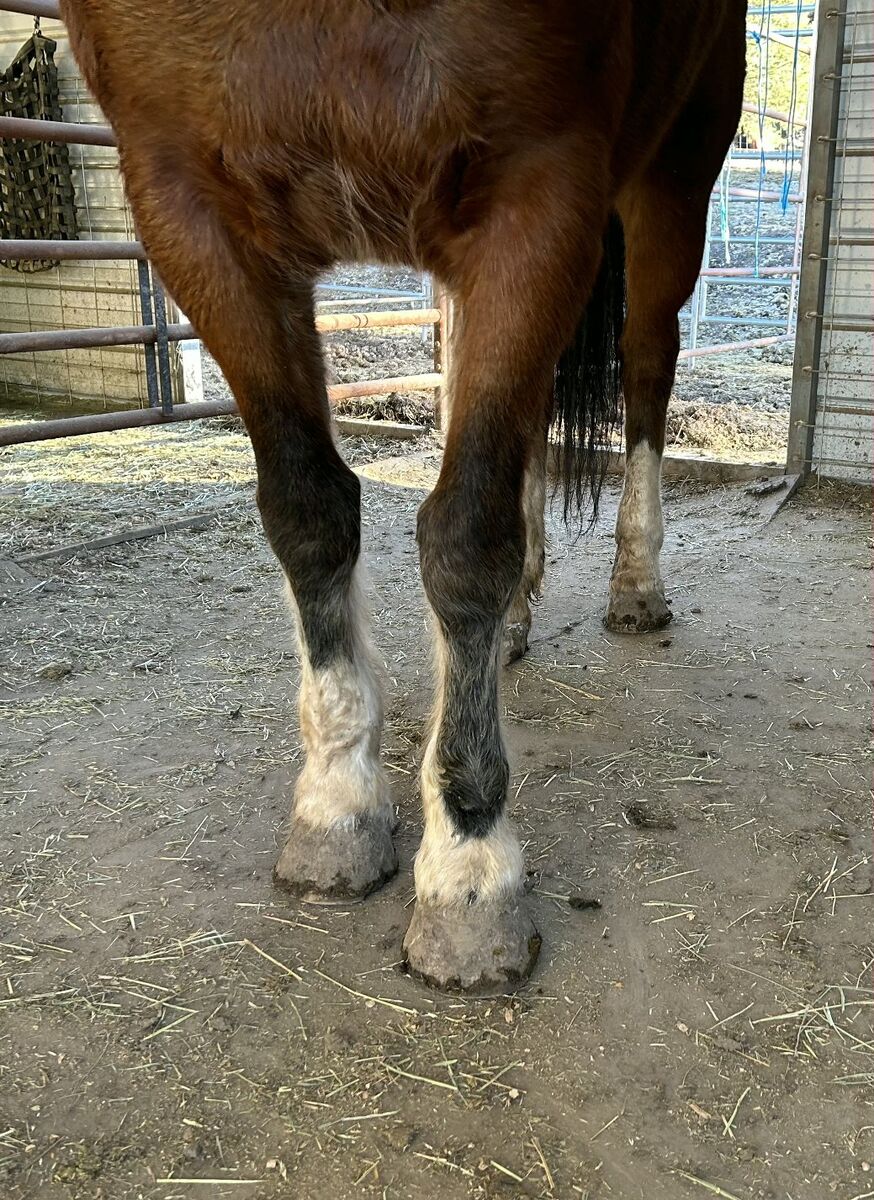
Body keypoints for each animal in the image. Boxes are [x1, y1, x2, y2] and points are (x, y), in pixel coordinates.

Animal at [60, 0, 746, 992]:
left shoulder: (538, 193)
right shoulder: (192, 208)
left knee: (648, 367)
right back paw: (514, 623)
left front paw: (469, 865)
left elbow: (465, 539)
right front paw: (337, 803)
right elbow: (308, 509)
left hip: (675, 173)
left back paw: (636, 585)